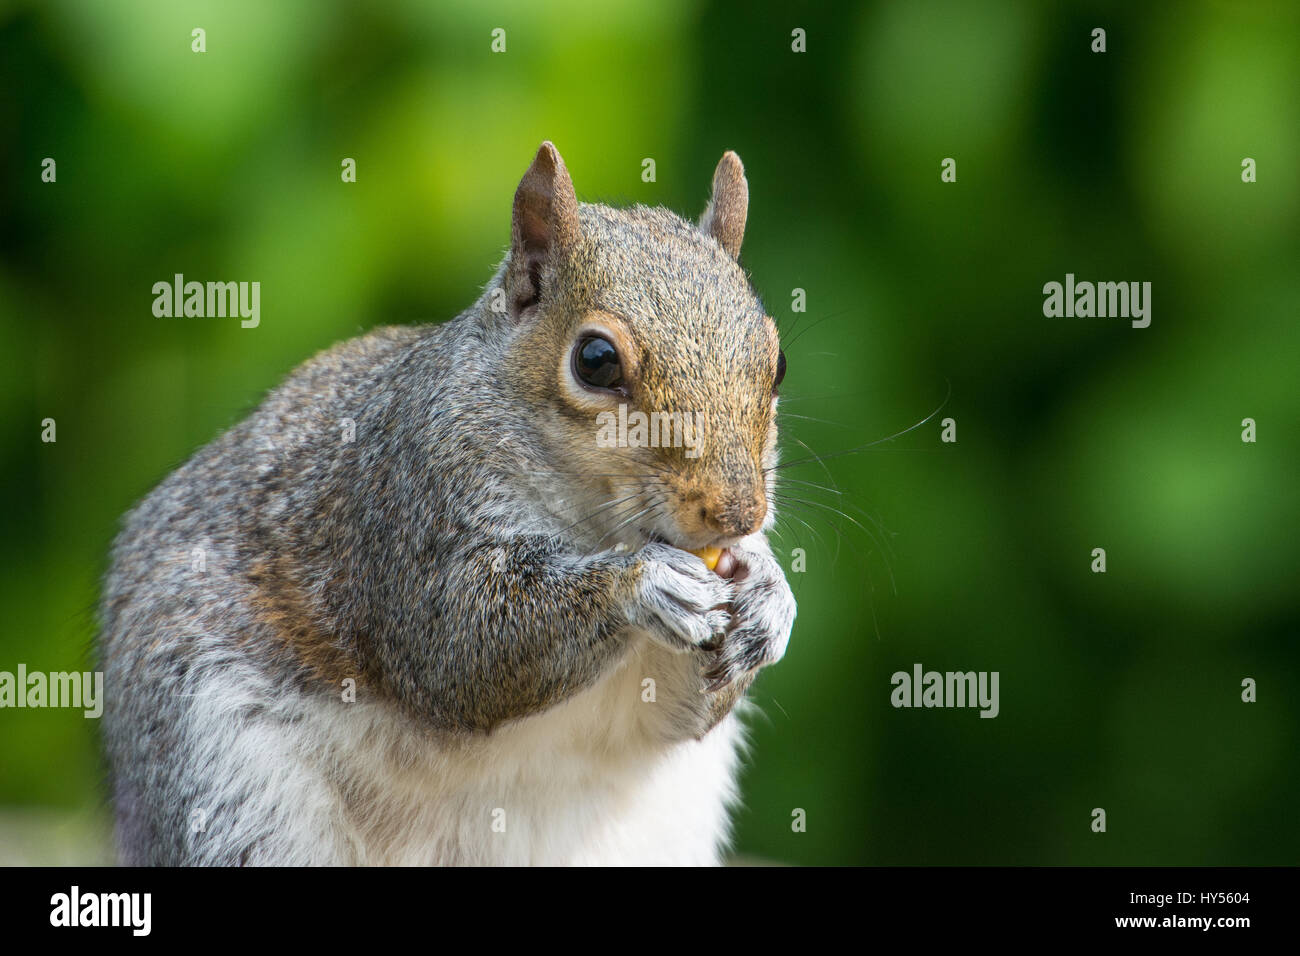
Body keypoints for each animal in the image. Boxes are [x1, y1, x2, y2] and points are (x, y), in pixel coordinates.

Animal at [98, 141, 790, 868]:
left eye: (777, 363)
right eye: (595, 360)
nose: (738, 514)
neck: (599, 526)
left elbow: (683, 714)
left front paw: (770, 598)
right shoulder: (409, 505)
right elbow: (453, 644)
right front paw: (642, 583)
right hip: (227, 789)